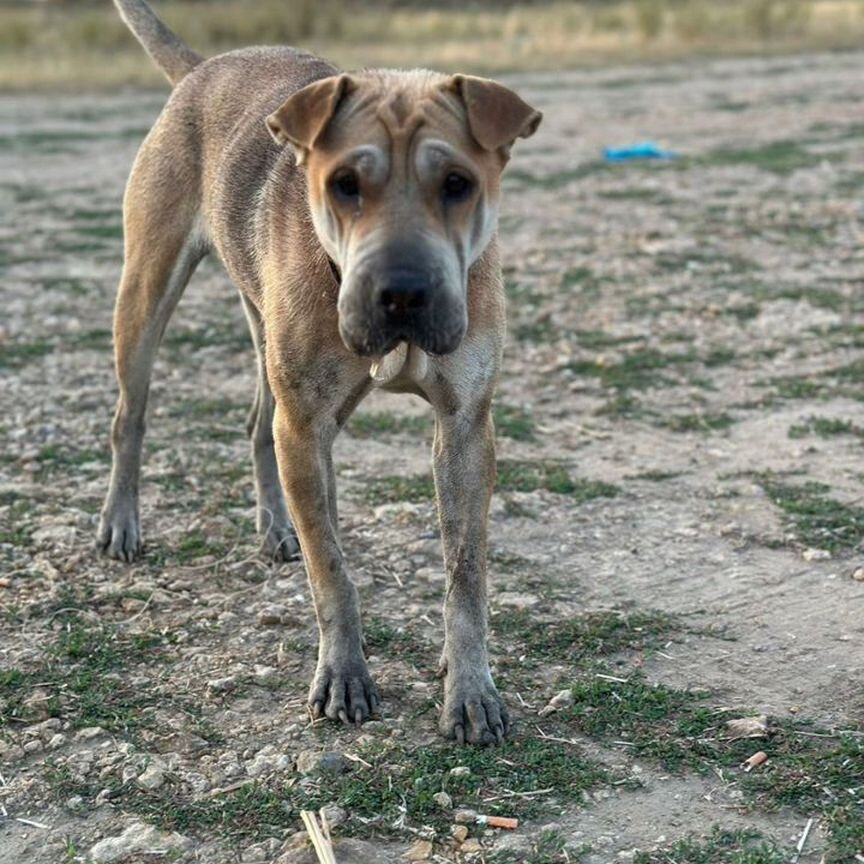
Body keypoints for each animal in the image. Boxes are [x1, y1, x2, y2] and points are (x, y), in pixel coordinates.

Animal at [99, 0, 540, 744]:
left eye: (457, 185)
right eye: (345, 185)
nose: (402, 293)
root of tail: (203, 69)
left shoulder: (464, 427)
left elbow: (466, 573)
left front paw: (471, 686)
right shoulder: (306, 426)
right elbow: (331, 567)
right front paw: (344, 672)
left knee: (257, 425)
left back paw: (277, 526)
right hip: (146, 289)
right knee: (130, 416)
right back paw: (120, 521)